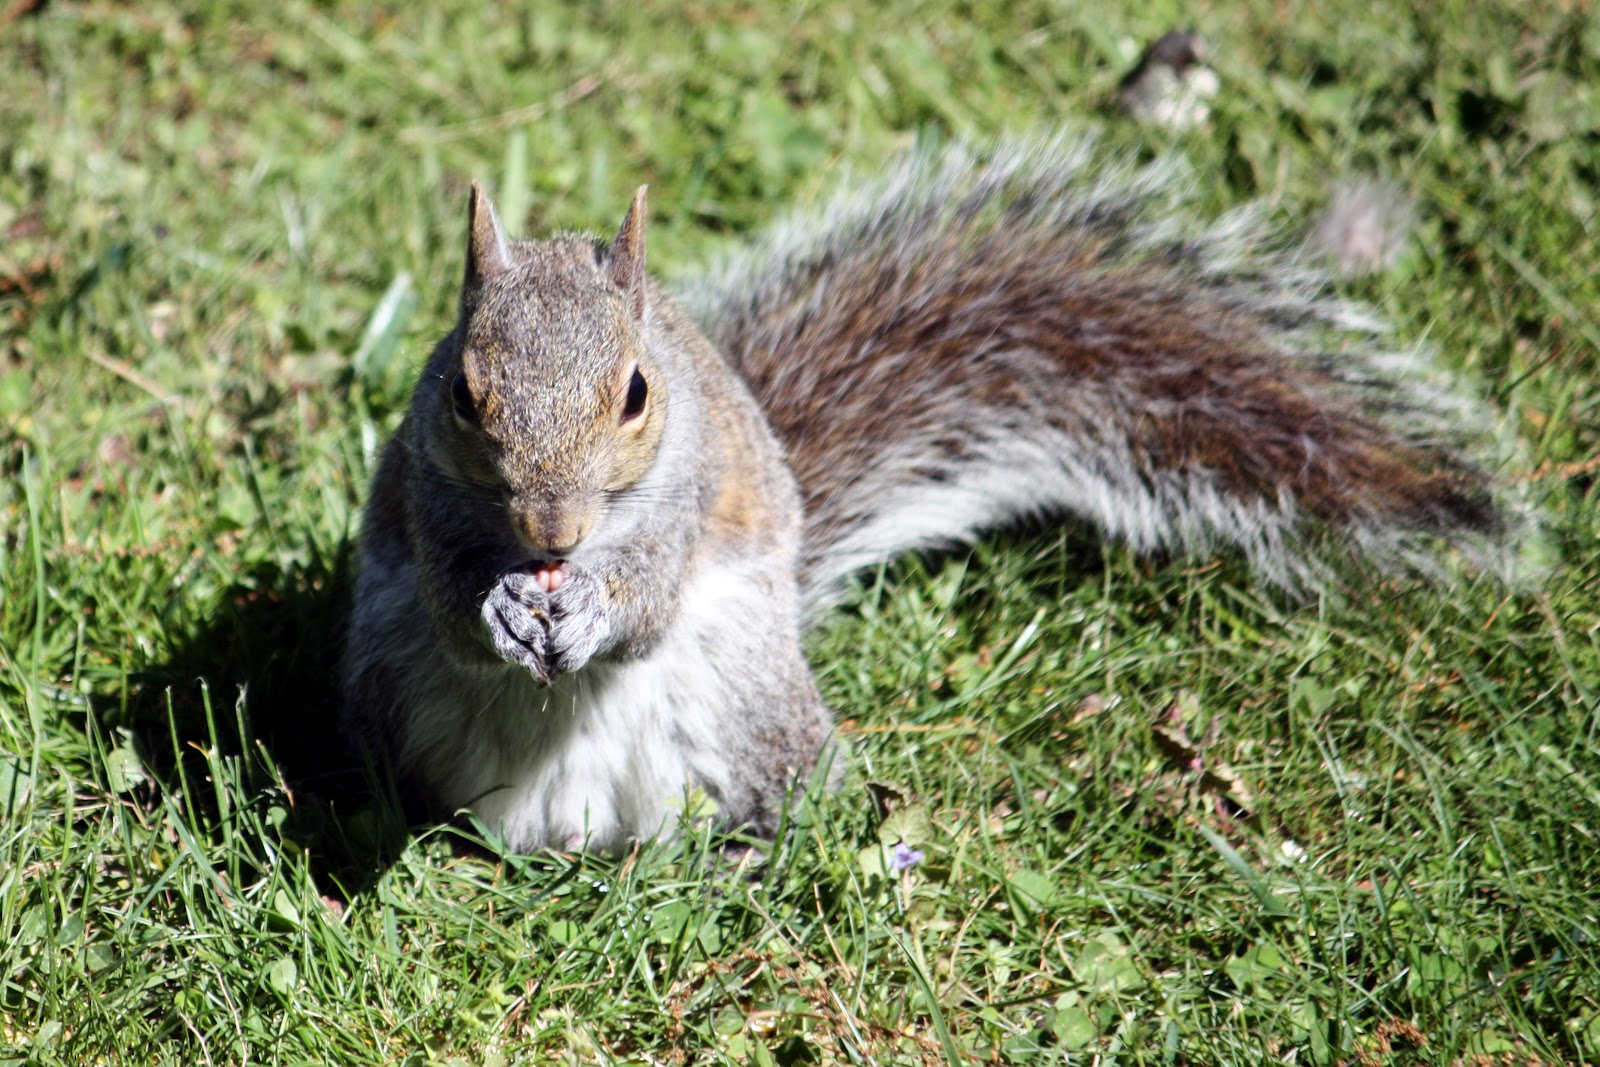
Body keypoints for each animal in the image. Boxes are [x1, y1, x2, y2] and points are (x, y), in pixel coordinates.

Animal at [340, 135, 1515, 853]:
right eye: (461, 391)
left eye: (636, 392)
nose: (553, 528)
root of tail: (568, 824)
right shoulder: (421, 501)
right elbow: (450, 590)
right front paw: (500, 604)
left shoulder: (687, 497)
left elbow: (650, 595)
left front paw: (590, 604)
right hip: (393, 680)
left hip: (741, 697)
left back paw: (757, 855)